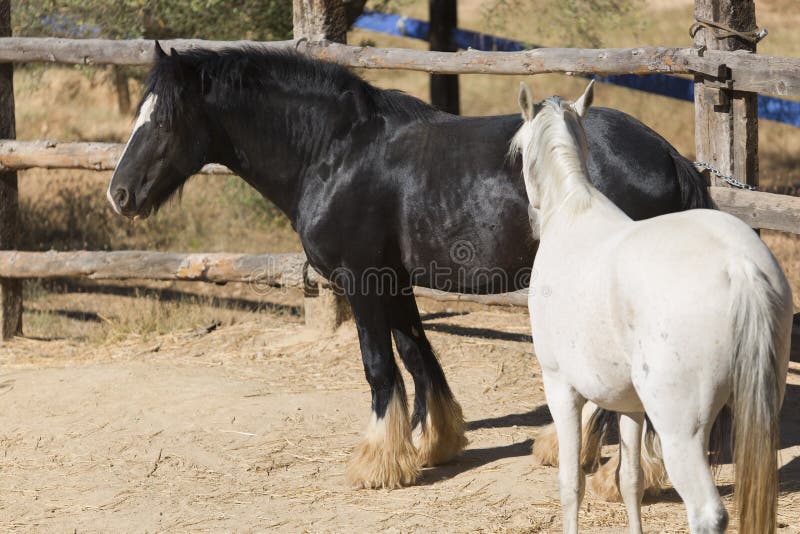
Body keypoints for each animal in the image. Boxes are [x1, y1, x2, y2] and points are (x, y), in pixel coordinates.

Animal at [106, 42, 713, 490]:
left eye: (165, 120)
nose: (119, 194)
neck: (337, 152)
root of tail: (669, 155)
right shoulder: (392, 281)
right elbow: (417, 356)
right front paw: (434, 443)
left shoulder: (361, 280)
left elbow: (380, 367)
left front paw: (377, 464)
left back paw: (604, 469)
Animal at [511, 80, 793, 534]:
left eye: (519, 149)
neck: (573, 211)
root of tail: (739, 266)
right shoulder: (630, 406)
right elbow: (630, 481)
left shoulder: (560, 387)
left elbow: (571, 483)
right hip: (759, 411)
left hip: (682, 430)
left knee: (707, 513)